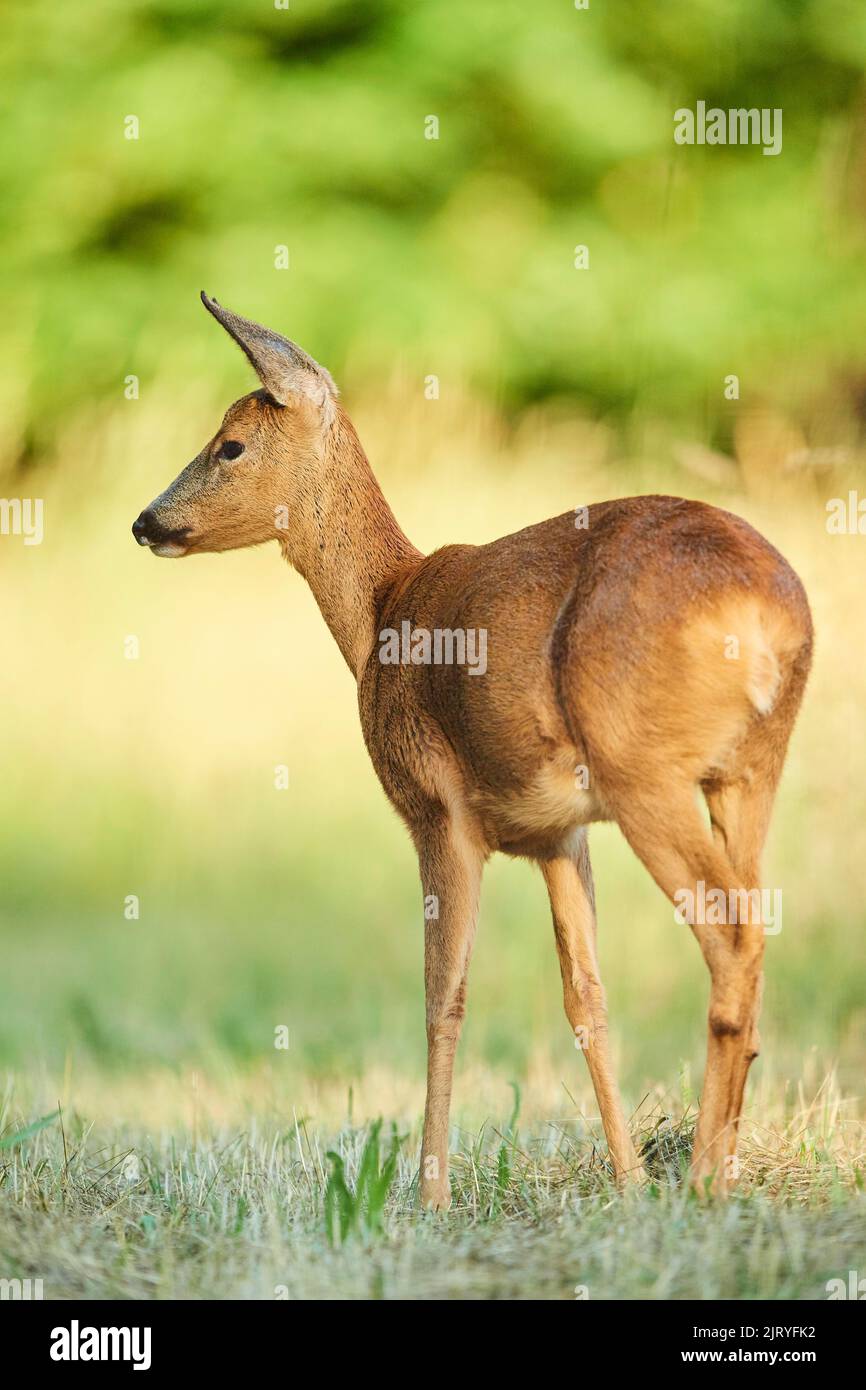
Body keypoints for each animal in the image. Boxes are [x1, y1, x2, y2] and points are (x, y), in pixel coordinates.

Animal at [133, 293, 813, 1206]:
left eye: (230, 442)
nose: (146, 521)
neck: (382, 610)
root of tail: (768, 616)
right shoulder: (559, 834)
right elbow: (585, 997)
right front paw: (629, 1180)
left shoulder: (436, 807)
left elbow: (442, 997)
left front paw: (430, 1195)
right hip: (748, 771)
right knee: (755, 921)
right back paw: (718, 1169)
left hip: (646, 773)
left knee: (730, 933)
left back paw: (706, 1178)